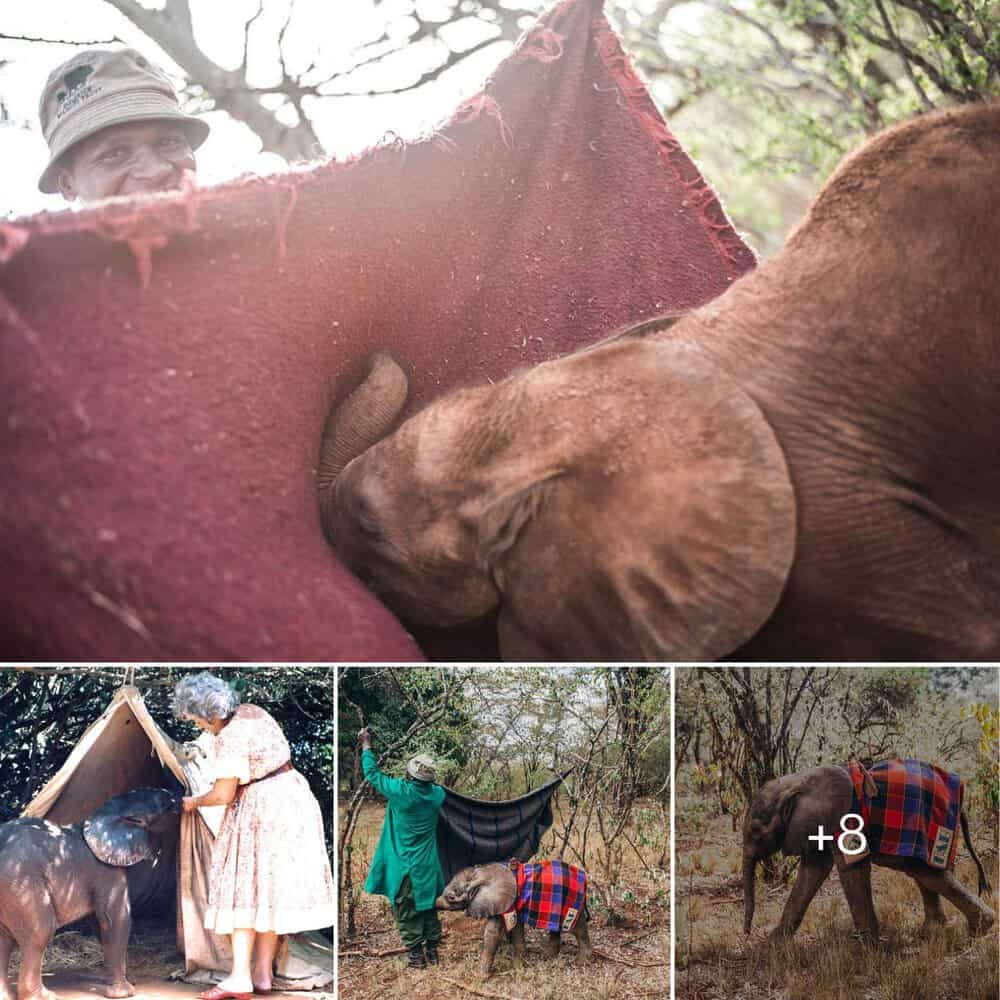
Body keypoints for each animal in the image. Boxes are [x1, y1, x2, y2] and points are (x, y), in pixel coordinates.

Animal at [0, 788, 180, 1000]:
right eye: (166, 804)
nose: (180, 797)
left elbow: (98, 922)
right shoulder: (106, 870)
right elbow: (114, 919)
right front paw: (125, 993)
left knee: (4, 939)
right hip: (20, 882)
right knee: (40, 931)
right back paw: (44, 996)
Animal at [434, 862, 592, 978]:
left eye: (451, 897)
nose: (434, 904)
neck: (482, 872)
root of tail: (585, 879)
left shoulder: (501, 901)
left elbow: (493, 933)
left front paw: (480, 977)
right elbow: (516, 927)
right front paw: (521, 961)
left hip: (572, 901)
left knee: (578, 928)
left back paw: (581, 963)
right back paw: (548, 957)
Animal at [742, 762, 995, 944]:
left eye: (755, 830)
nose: (747, 933)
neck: (795, 782)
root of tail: (960, 792)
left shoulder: (843, 820)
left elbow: (851, 870)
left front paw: (867, 950)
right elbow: (812, 872)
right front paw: (772, 945)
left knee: (927, 873)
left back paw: (980, 929)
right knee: (922, 872)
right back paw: (934, 932)